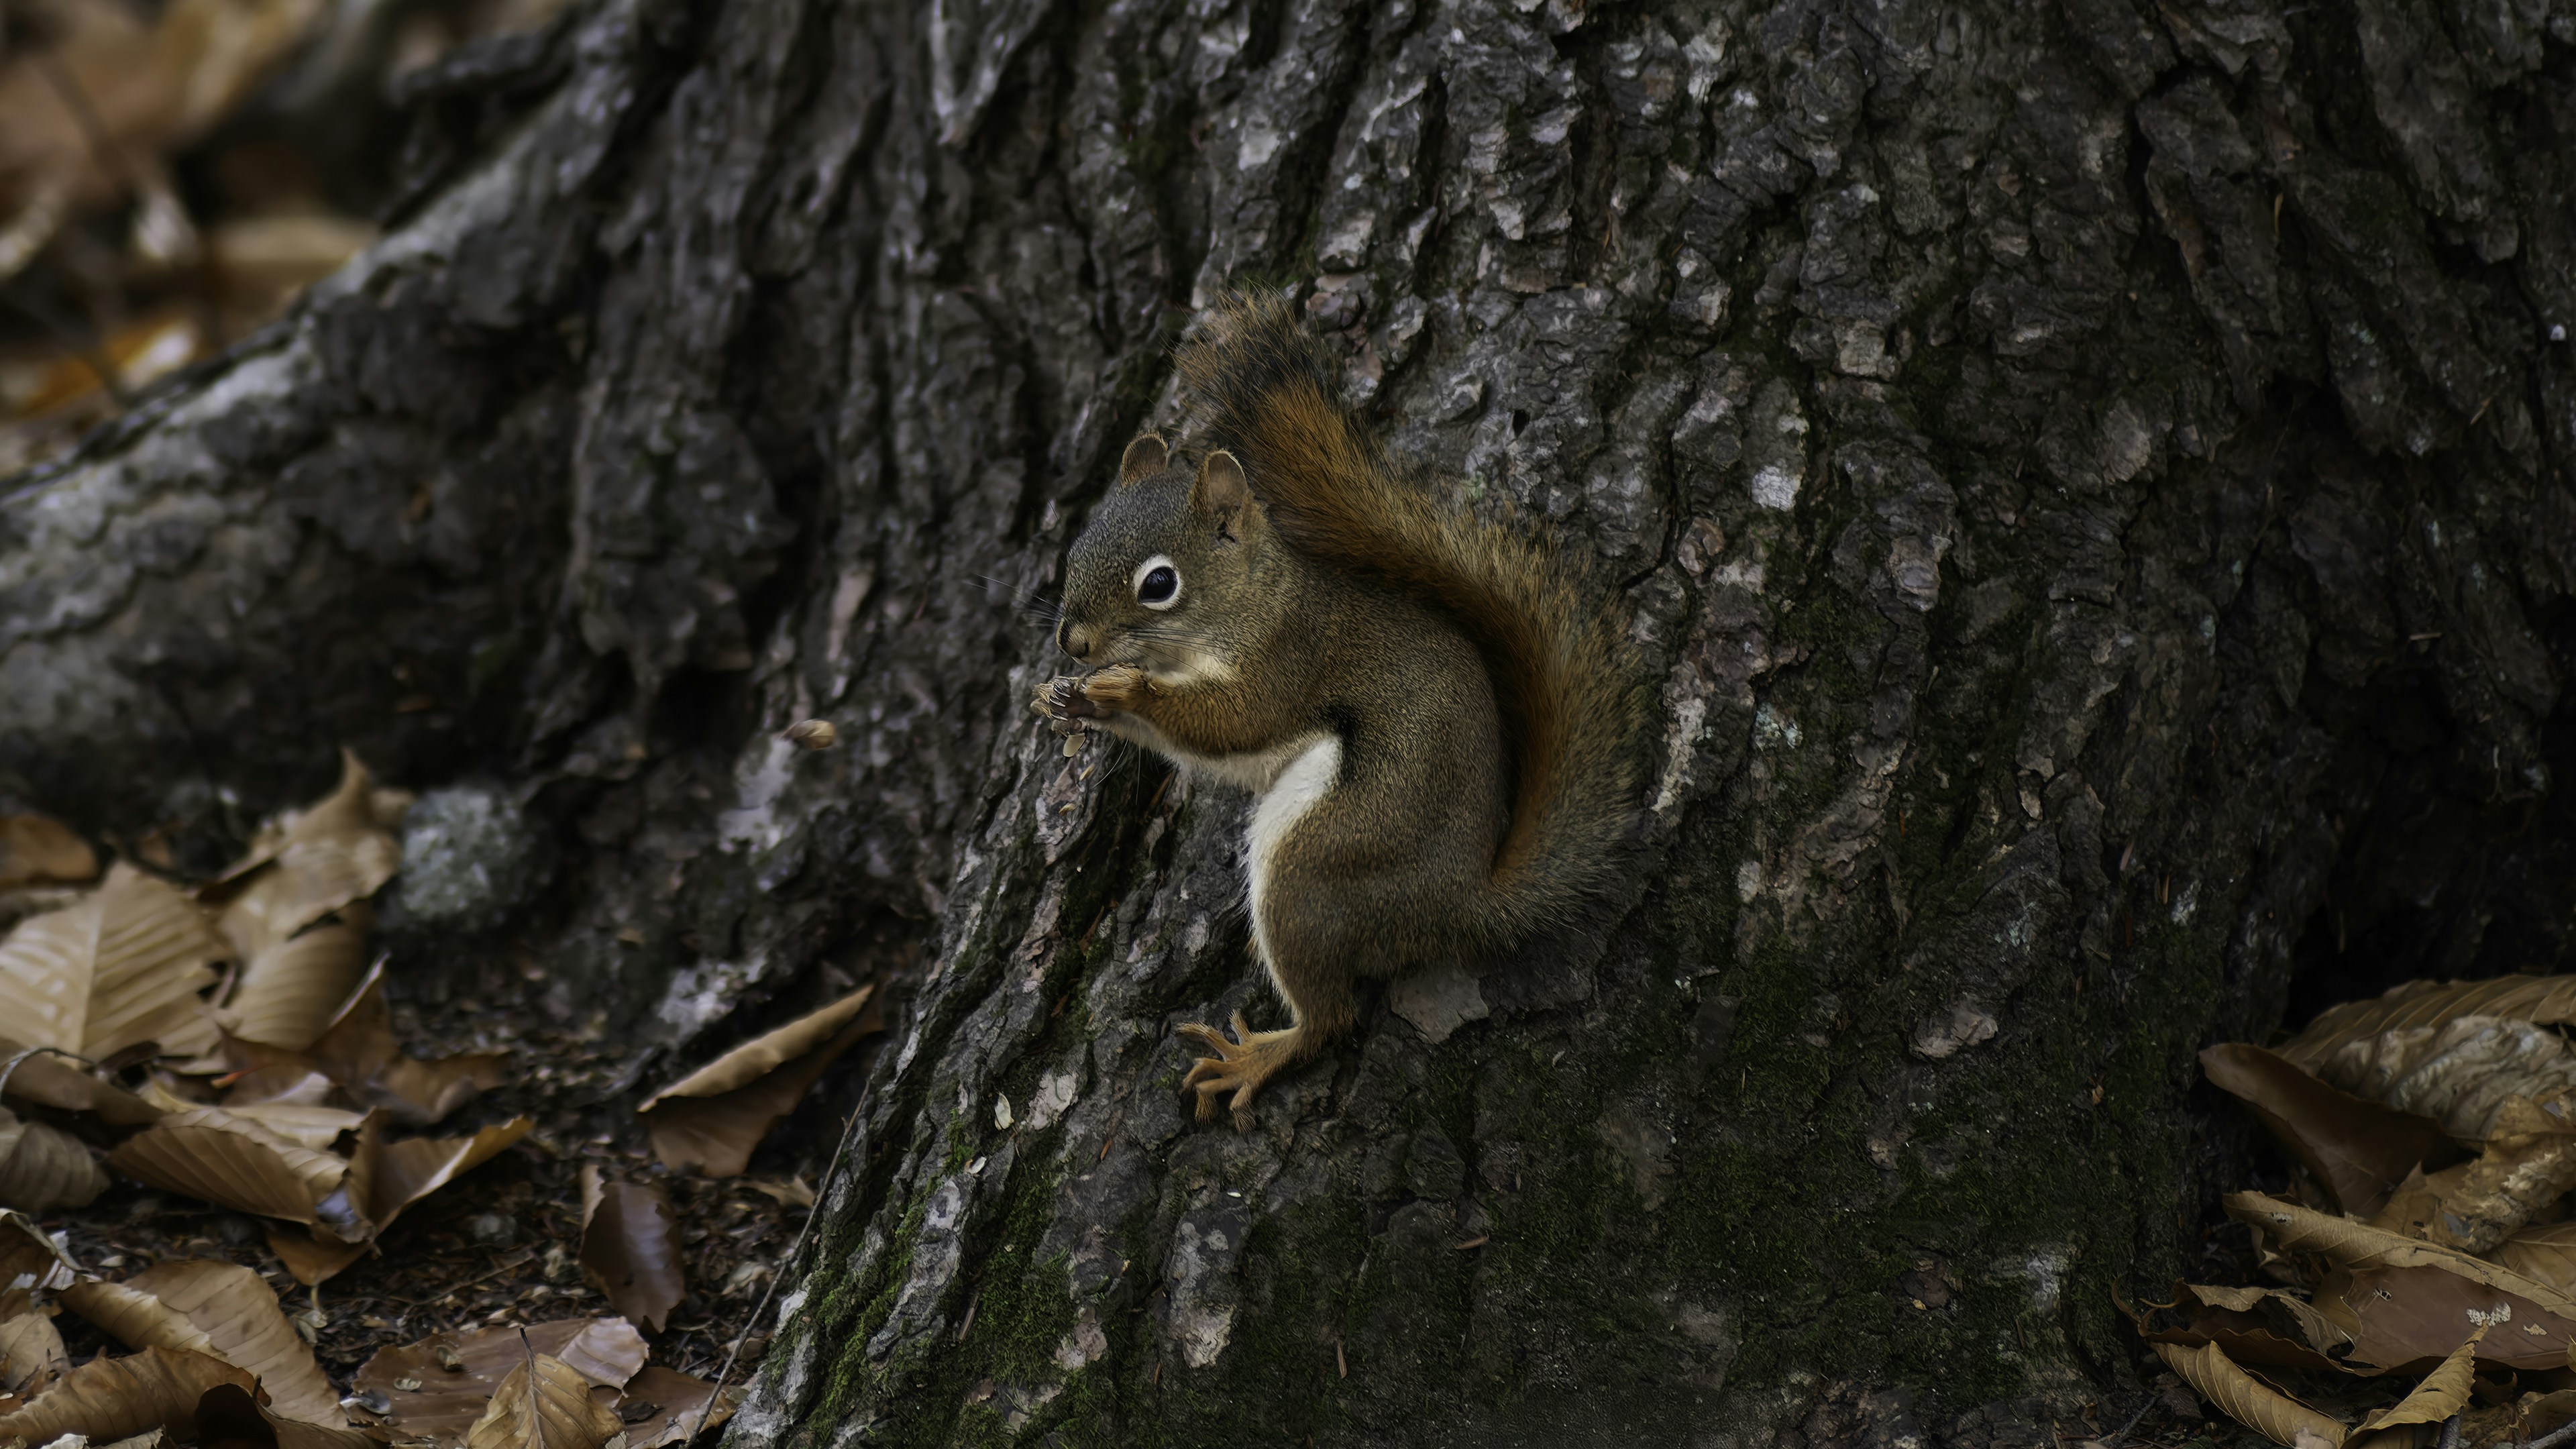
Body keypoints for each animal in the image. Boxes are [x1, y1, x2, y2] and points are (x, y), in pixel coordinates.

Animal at [1032, 293, 1645, 1126]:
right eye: (1078, 549)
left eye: (1159, 584)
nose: (1074, 643)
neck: (1248, 604)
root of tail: (1462, 905)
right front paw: (1064, 701)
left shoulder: (1287, 661)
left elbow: (1233, 723)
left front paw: (1127, 692)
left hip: (1323, 868)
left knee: (1332, 1017)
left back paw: (1259, 1056)